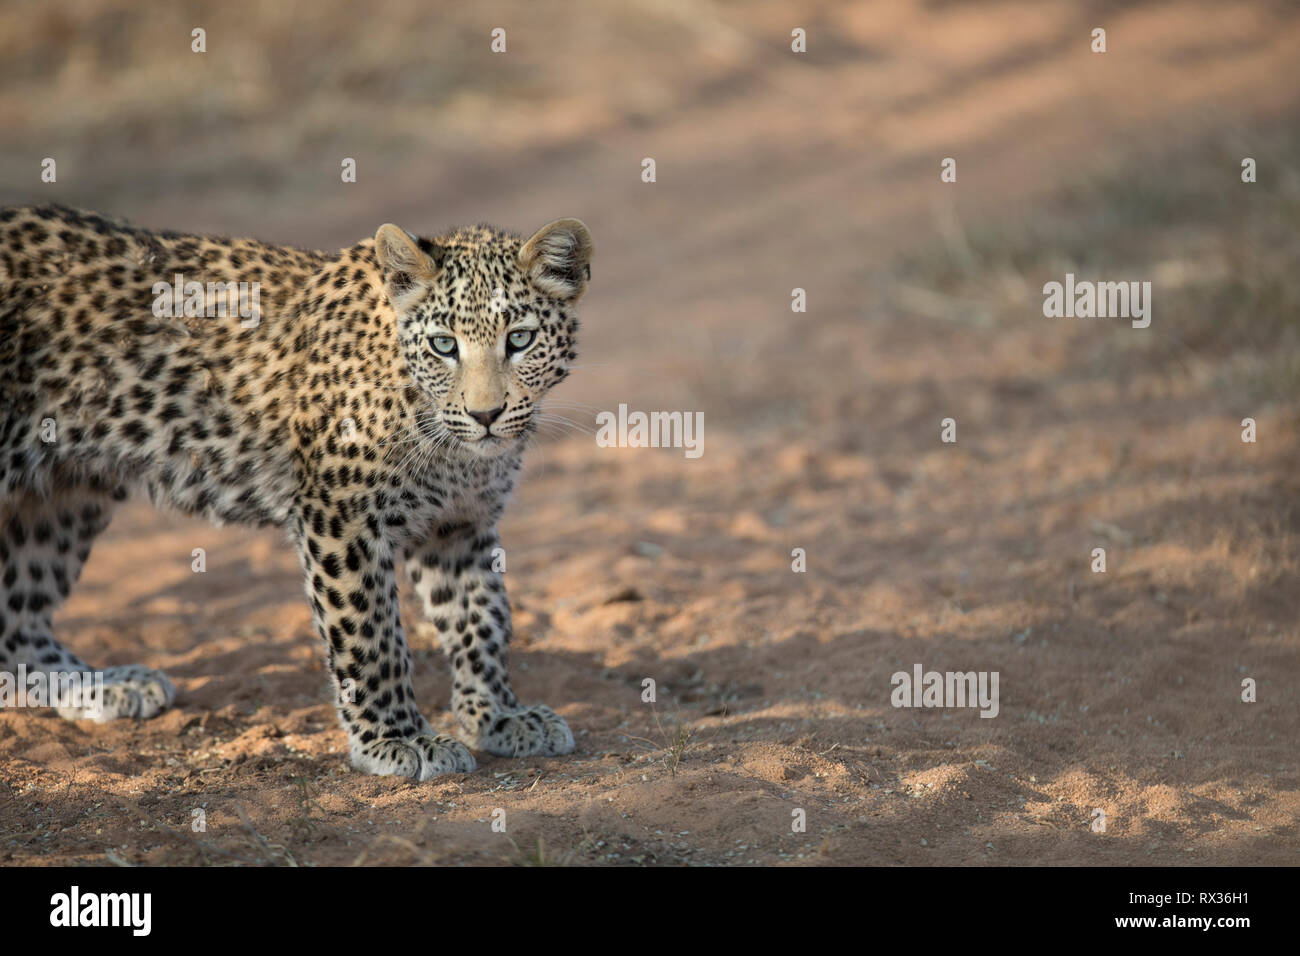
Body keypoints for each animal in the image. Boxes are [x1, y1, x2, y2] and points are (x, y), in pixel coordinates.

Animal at [0, 202, 593, 780]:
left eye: (520, 339)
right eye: (444, 346)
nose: (485, 415)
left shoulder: (459, 525)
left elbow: (482, 618)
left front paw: (498, 715)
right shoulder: (342, 518)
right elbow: (371, 634)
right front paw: (397, 739)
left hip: (64, 493)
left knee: (16, 618)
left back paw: (100, 687)